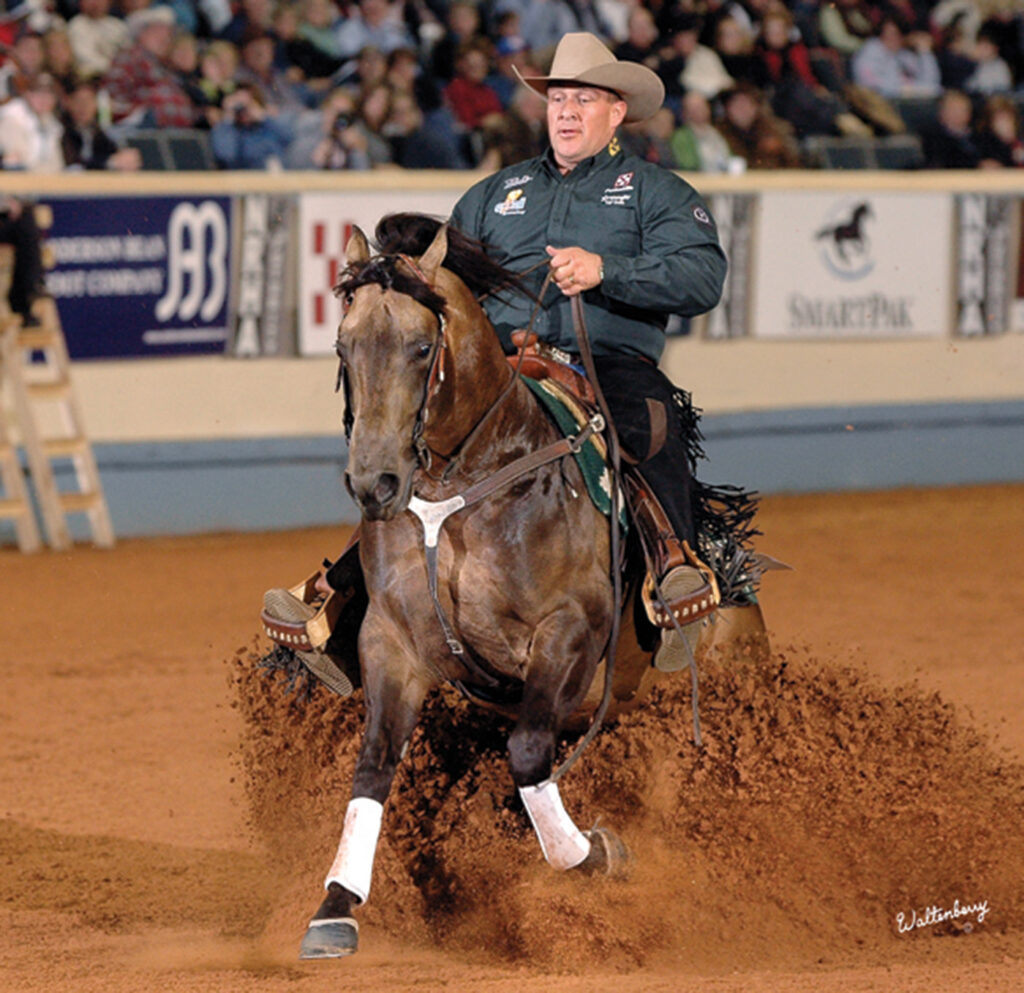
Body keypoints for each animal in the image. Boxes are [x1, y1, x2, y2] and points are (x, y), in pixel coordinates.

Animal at [296, 214, 764, 960]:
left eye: (421, 347)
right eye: (344, 345)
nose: (375, 484)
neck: (458, 495)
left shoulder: (569, 633)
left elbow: (527, 754)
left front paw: (598, 853)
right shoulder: (392, 643)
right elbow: (373, 765)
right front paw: (335, 906)